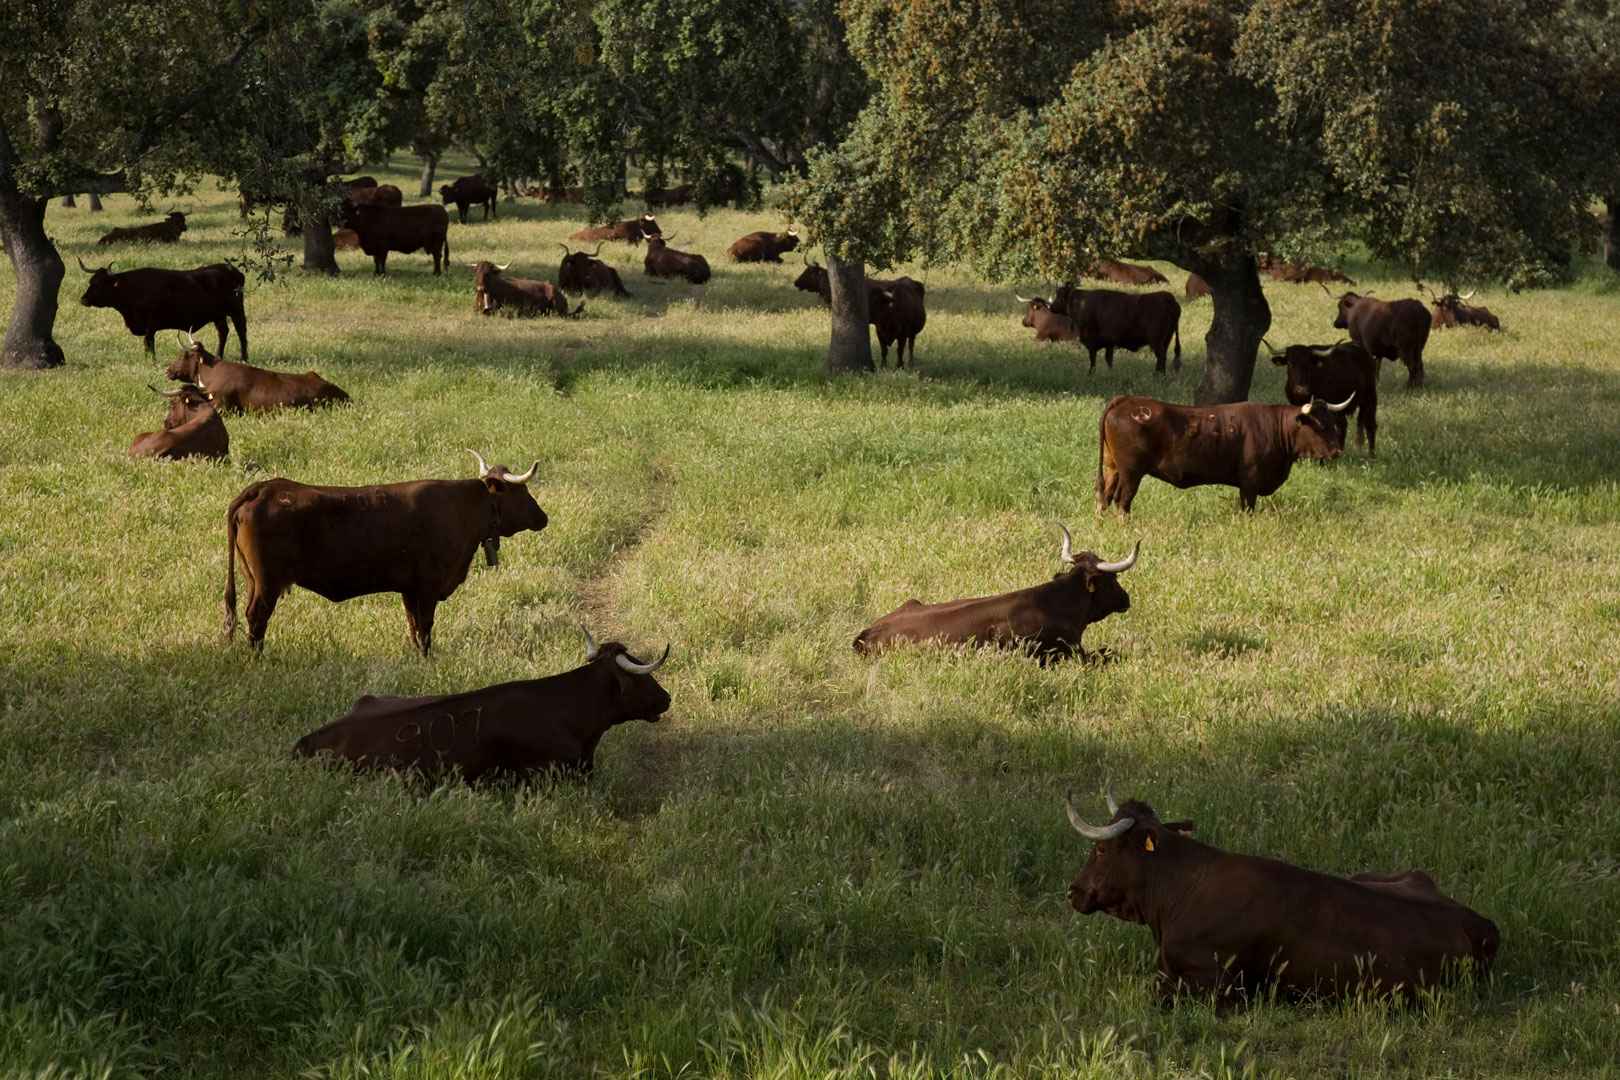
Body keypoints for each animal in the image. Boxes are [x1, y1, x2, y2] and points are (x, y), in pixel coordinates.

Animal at [78, 258, 247, 363]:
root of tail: (231, 269)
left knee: (241, 332)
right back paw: (219, 356)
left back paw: (244, 358)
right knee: (223, 332)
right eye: (91, 281)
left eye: (100, 284)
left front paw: (152, 361)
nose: (83, 299)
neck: (132, 289)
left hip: (236, 311)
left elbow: (149, 343)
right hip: (218, 315)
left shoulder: (150, 325)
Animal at [223, 450, 548, 654]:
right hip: (267, 583)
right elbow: (425, 627)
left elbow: (413, 626)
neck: (461, 508)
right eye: (522, 491)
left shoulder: (409, 589)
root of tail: (264, 488)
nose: (543, 517)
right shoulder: (428, 587)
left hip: (253, 580)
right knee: (257, 617)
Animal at [854, 527, 1138, 664]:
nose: (1127, 599)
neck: (1055, 602)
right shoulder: (1069, 653)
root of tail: (866, 633)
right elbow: (1109, 654)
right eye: (1114, 578)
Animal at [1052, 285, 1182, 374]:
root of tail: (1169, 298)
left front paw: (1090, 374)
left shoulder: (1092, 342)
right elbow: (1109, 359)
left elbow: (1093, 360)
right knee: (1162, 358)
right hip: (1166, 340)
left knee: (1161, 357)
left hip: (1156, 341)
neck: (1081, 304)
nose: (1050, 307)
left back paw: (1158, 376)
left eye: (1059, 296)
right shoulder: (1109, 343)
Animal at [1097, 393, 1355, 513]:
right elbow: (1248, 508)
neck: (1274, 427)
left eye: (1332, 422)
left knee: (1104, 497)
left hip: (1113, 468)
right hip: (1131, 473)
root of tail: (1125, 400)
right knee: (1122, 501)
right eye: (1319, 425)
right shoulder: (1250, 482)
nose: (1337, 451)